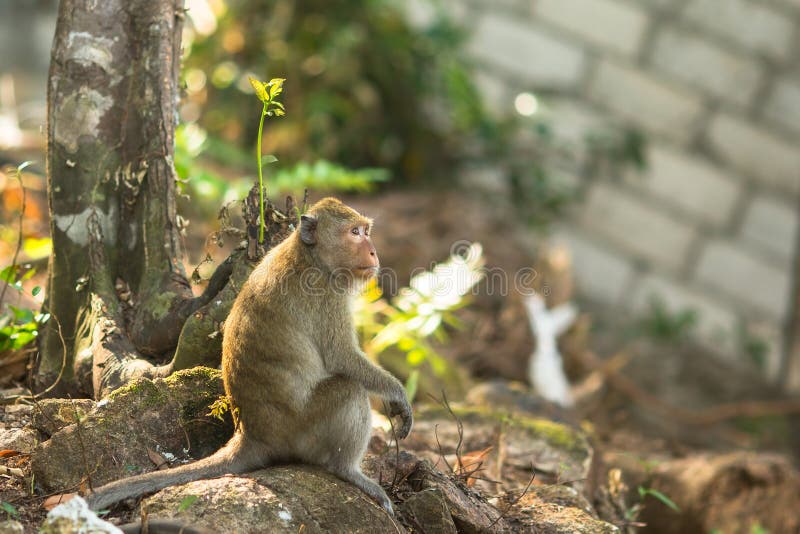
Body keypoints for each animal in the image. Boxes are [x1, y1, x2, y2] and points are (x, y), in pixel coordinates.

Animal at [86, 197, 413, 514]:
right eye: (355, 232)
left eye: (366, 231)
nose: (373, 252)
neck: (310, 256)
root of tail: (251, 434)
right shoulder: (326, 297)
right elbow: (342, 358)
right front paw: (398, 395)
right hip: (301, 431)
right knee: (349, 389)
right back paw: (347, 471)